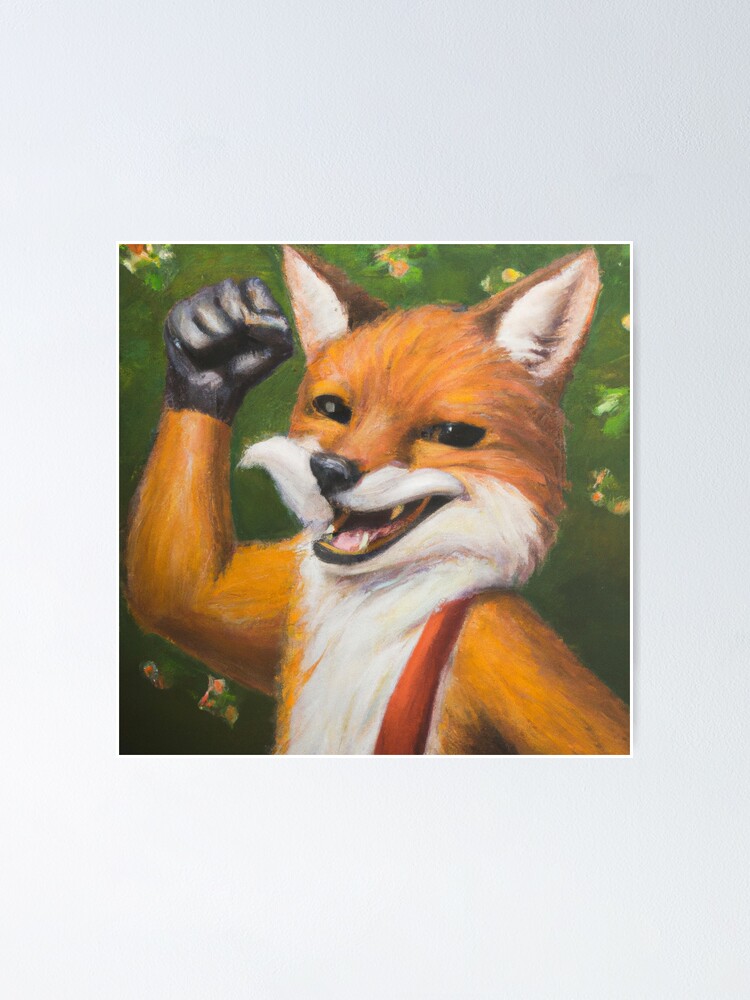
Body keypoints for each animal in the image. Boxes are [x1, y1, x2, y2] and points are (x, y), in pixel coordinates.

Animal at [125, 245, 630, 755]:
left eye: (449, 433)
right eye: (332, 409)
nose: (330, 471)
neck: (360, 620)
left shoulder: (499, 640)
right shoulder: (280, 594)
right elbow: (181, 596)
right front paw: (212, 350)